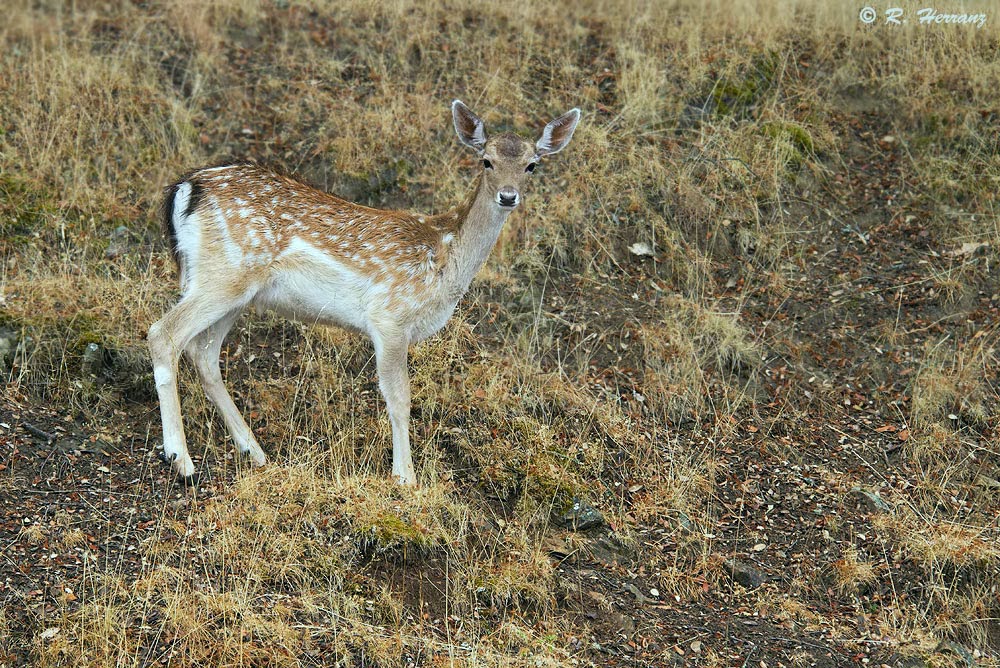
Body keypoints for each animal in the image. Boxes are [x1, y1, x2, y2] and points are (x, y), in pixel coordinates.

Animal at [148, 100, 581, 485]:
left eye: (532, 165)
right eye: (486, 160)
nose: (508, 195)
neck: (445, 259)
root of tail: (185, 189)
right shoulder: (389, 317)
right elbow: (400, 398)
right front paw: (405, 478)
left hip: (235, 290)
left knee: (204, 353)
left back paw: (254, 451)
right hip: (225, 274)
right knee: (163, 333)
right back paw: (181, 459)